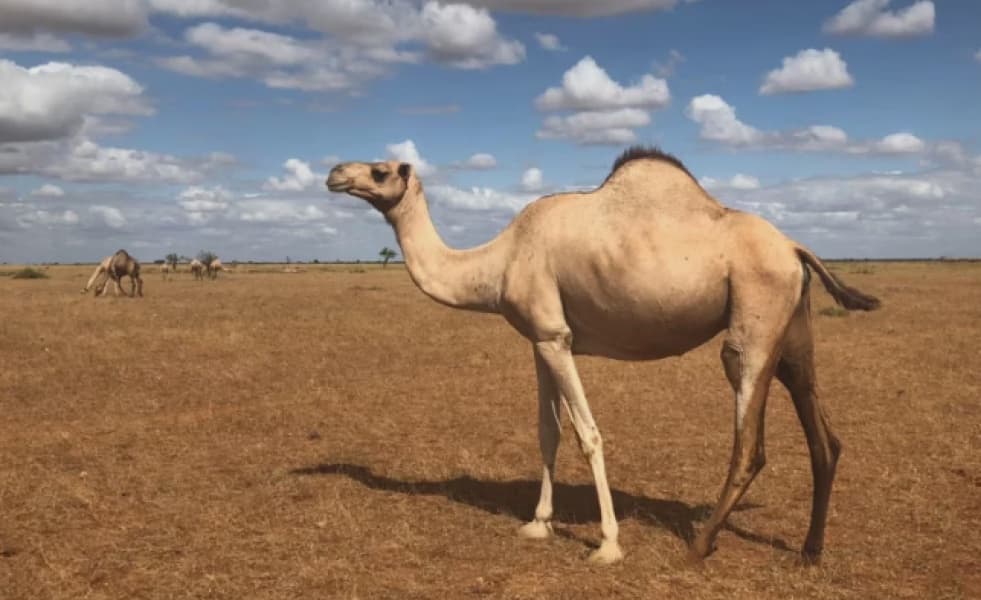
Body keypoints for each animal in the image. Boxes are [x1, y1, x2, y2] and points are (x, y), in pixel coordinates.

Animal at [326, 147, 879, 566]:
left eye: (380, 170)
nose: (334, 173)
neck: (497, 264)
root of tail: (796, 248)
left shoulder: (555, 335)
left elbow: (587, 435)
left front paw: (608, 545)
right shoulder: (540, 338)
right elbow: (547, 431)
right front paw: (538, 523)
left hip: (753, 324)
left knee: (749, 442)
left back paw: (700, 543)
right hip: (793, 331)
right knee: (822, 435)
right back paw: (809, 551)